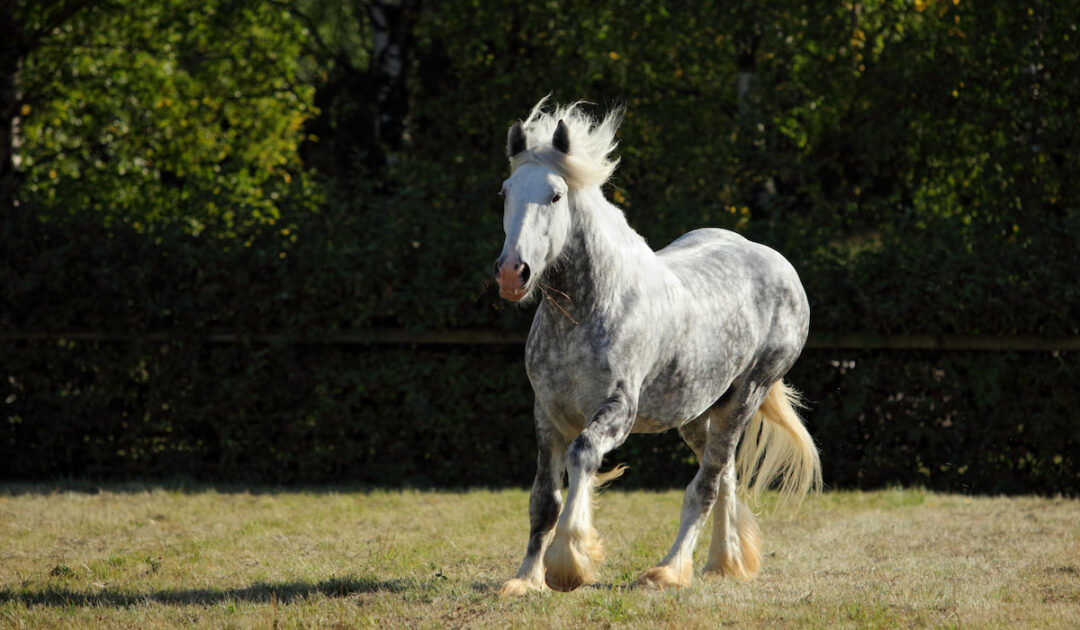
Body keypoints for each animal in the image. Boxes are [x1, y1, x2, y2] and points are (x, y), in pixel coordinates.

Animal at [493, 98, 822, 595]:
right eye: (506, 192)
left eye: (555, 196)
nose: (514, 273)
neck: (586, 311)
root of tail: (780, 265)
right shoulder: (546, 412)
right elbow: (543, 499)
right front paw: (526, 579)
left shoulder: (618, 410)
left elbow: (583, 456)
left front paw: (568, 564)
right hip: (697, 412)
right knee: (724, 474)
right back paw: (724, 562)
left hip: (746, 397)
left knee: (706, 485)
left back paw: (669, 570)